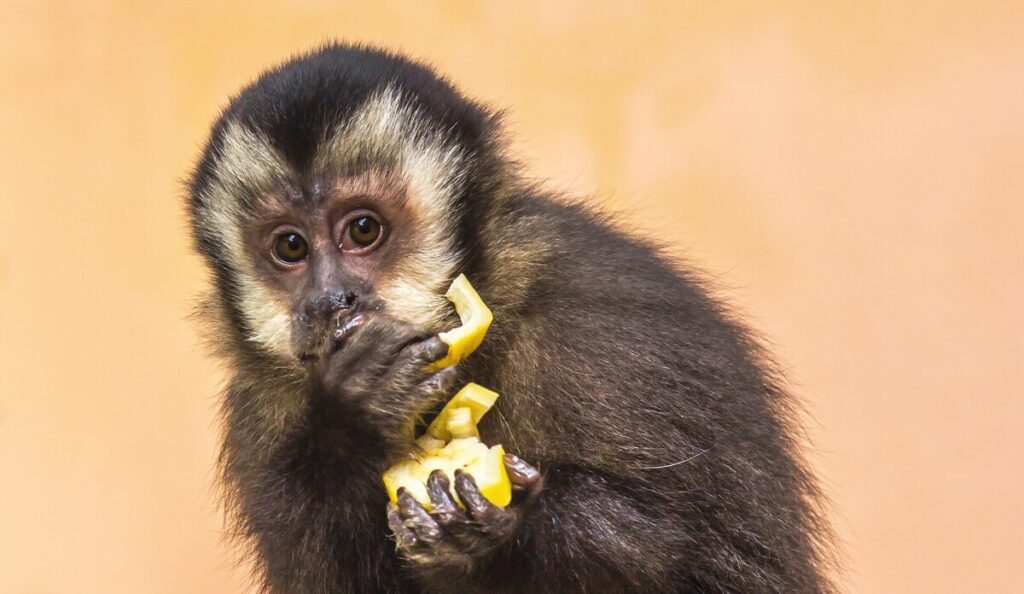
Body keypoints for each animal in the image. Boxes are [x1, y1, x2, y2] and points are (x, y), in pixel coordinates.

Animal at [186, 43, 835, 593]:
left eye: (363, 230)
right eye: (290, 247)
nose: (329, 301)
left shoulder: (607, 335)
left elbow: (674, 547)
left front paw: (495, 534)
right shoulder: (259, 413)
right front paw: (354, 418)